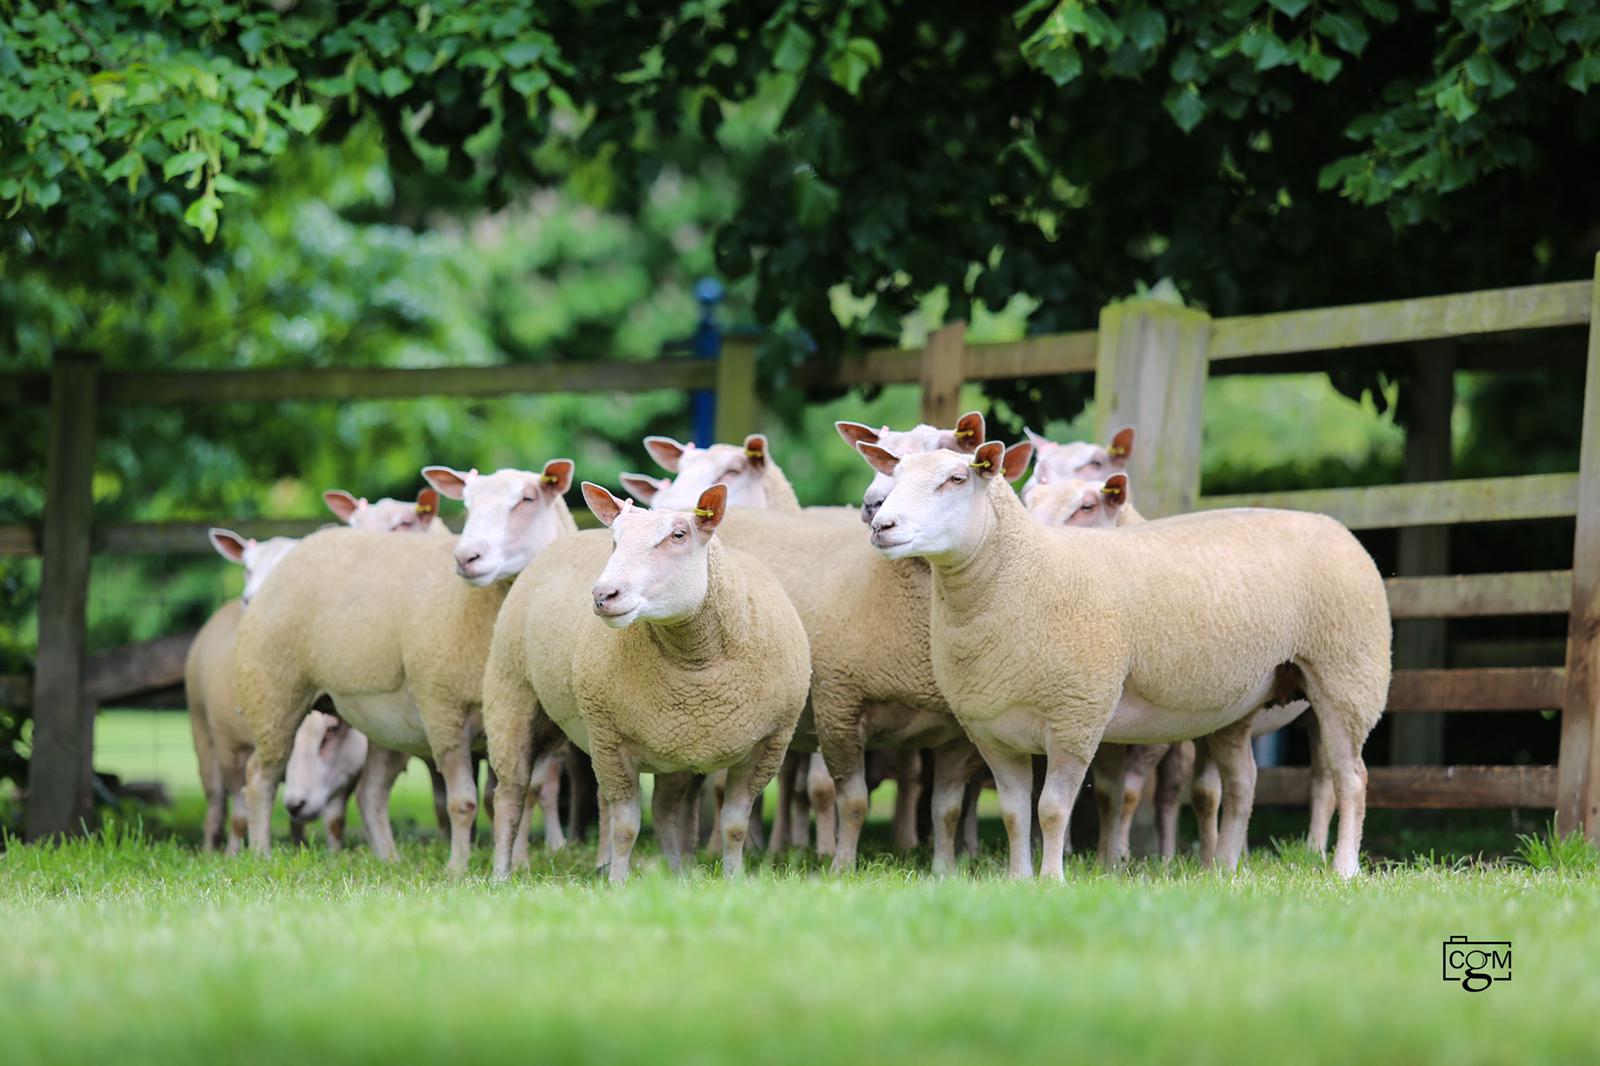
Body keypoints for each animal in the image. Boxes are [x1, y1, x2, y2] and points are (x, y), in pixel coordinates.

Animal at [233, 459, 577, 871]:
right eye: (466, 503)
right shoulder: (443, 710)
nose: (466, 558)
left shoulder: (533, 727)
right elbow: (462, 803)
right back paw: (261, 854)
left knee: (369, 793)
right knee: (259, 778)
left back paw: (389, 861)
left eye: (527, 499)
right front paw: (457, 870)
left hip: (382, 719)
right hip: (274, 690)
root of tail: (302, 546)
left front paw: (520, 864)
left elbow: (523, 794)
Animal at [482, 483, 811, 883]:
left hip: (671, 746)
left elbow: (734, 825)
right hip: (511, 691)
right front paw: (617, 883)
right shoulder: (611, 742)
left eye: (679, 535)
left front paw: (734, 880)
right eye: (615, 540)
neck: (696, 662)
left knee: (666, 809)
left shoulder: (766, 745)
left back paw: (678, 875)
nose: (603, 595)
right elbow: (625, 827)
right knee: (510, 793)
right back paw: (501, 874)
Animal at [857, 439, 1390, 880]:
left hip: (1346, 676)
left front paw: (1051, 881)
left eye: (955, 479)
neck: (1024, 573)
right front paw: (1018, 880)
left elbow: (1052, 808)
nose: (882, 526)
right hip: (1240, 703)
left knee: (1350, 779)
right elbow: (1014, 812)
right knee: (1242, 786)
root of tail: (1331, 523)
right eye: (894, 476)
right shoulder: (991, 729)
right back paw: (1224, 868)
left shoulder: (1077, 717)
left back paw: (1342, 868)